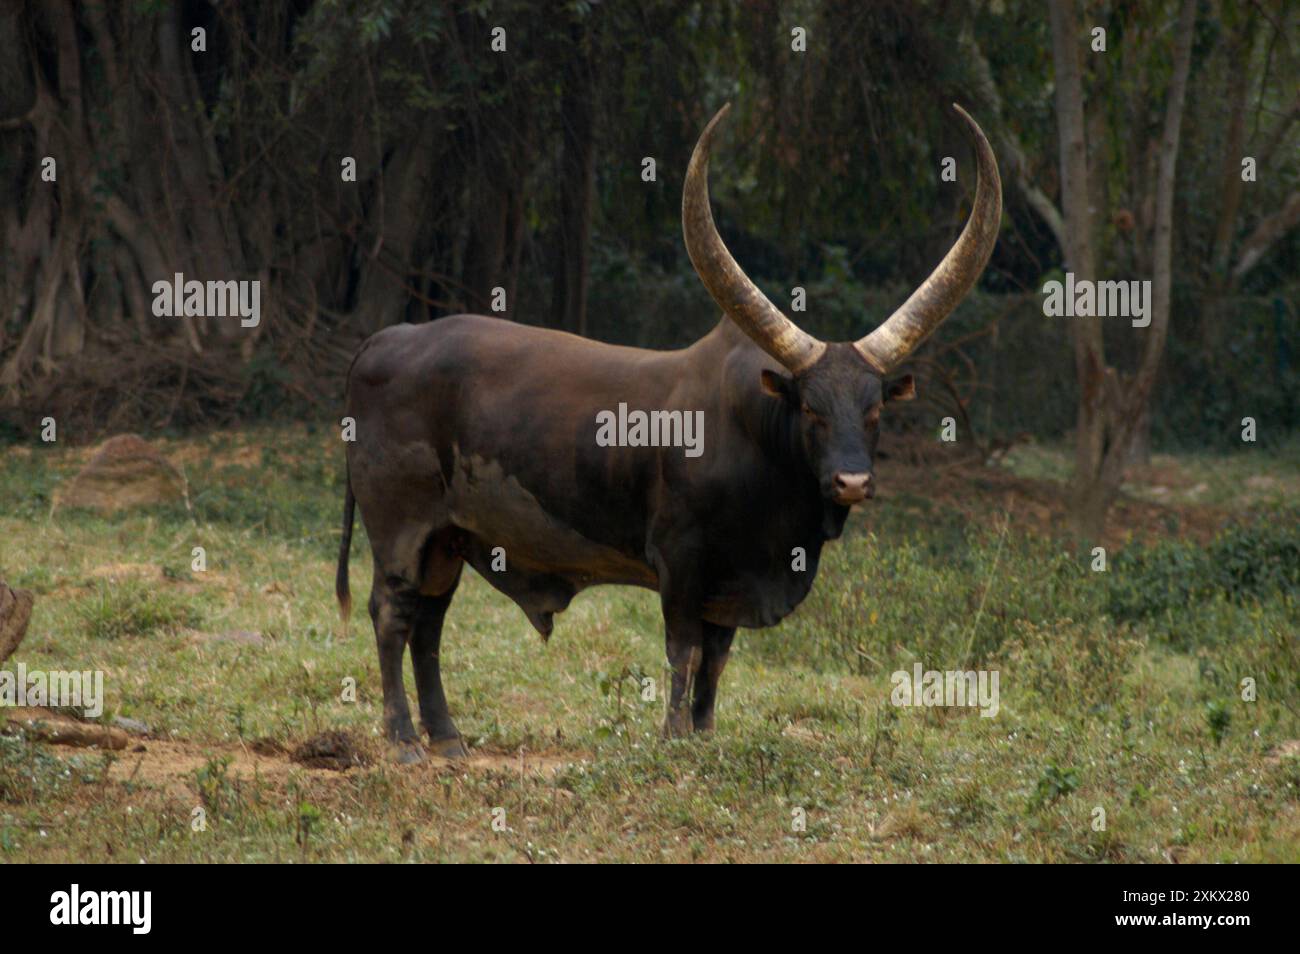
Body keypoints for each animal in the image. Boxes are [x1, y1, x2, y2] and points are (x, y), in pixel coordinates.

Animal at [336, 103, 1001, 761]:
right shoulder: (681, 560)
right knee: (391, 616)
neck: (758, 443)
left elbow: (717, 659)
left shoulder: (734, 578)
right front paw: (674, 737)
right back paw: (404, 739)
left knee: (428, 625)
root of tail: (386, 340)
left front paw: (704, 734)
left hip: (446, 540)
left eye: (874, 410)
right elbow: (684, 651)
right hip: (399, 528)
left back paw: (447, 738)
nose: (852, 482)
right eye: (811, 408)